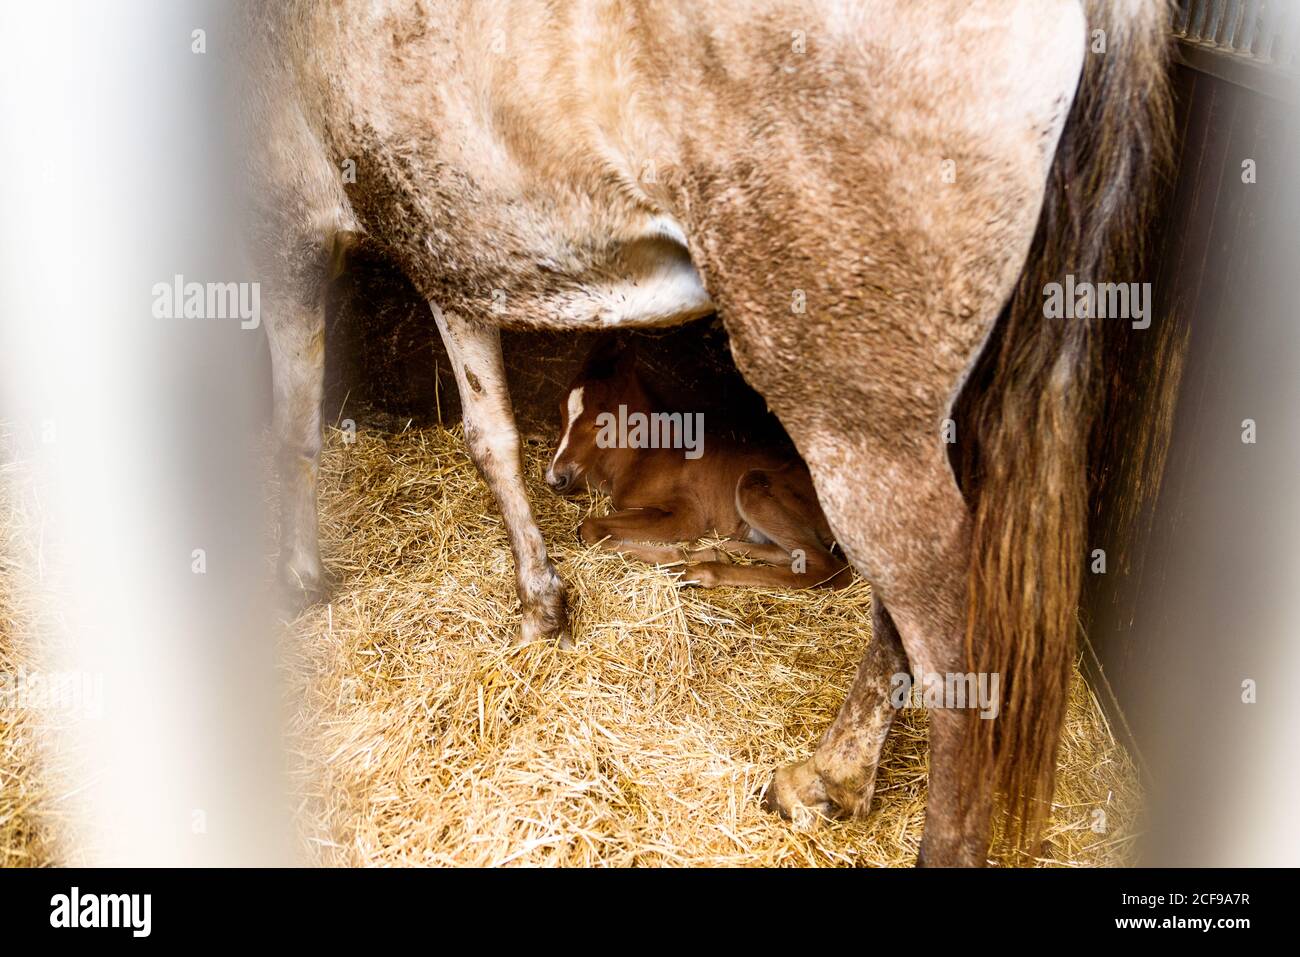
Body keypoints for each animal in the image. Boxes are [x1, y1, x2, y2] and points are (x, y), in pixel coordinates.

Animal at [545, 338, 852, 589]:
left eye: (600, 421)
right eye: (560, 410)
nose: (555, 477)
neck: (643, 454)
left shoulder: (686, 512)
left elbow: (590, 528)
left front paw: (688, 555)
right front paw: (708, 551)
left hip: (754, 485)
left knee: (831, 569)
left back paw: (701, 570)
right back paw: (727, 547)